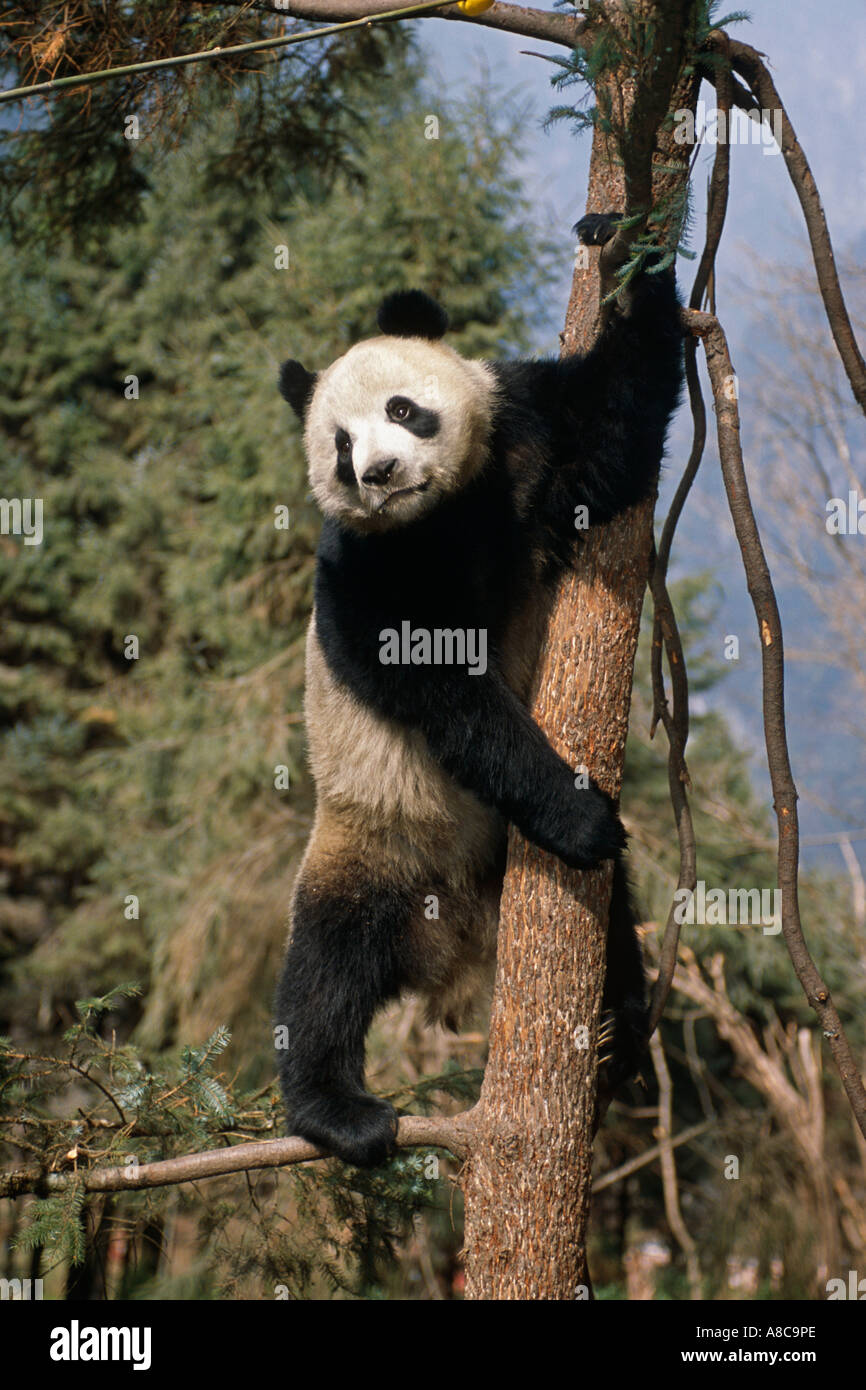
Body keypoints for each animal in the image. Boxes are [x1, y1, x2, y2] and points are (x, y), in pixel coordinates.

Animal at [274, 213, 684, 1167]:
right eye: (338, 447)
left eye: (401, 409)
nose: (380, 472)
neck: (439, 514)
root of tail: (453, 943)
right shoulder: (365, 571)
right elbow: (444, 695)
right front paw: (575, 811)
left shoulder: (523, 438)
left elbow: (615, 420)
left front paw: (626, 238)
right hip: (371, 840)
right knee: (324, 968)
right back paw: (337, 1112)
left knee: (614, 921)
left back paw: (618, 1031)